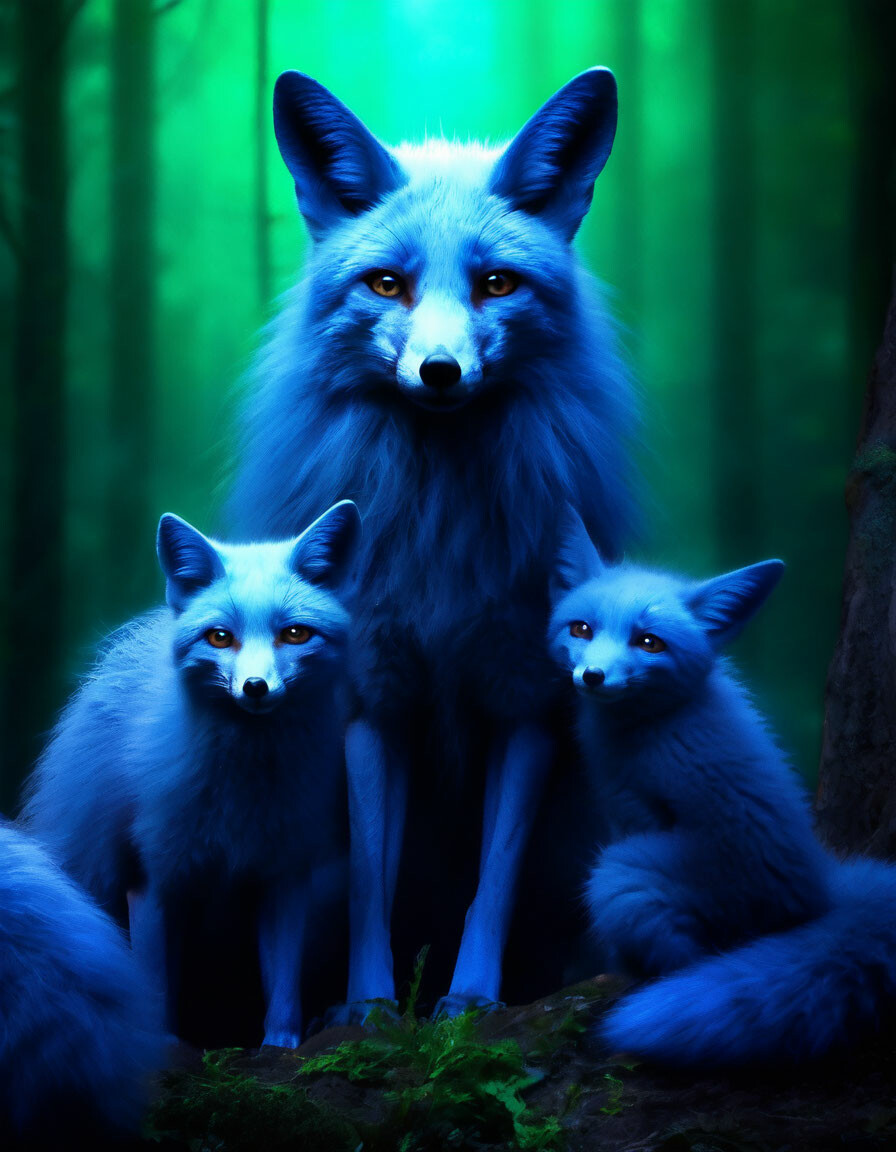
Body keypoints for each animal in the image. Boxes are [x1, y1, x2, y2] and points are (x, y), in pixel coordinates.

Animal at [22, 500, 360, 1048]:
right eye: (220, 638)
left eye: (294, 634)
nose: (256, 687)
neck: (243, 793)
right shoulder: (152, 881)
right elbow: (155, 986)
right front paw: (161, 1050)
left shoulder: (285, 875)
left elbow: (284, 988)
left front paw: (281, 1046)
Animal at [228, 68, 637, 1018]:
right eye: (387, 285)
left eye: (496, 284)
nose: (441, 373)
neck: (442, 541)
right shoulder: (372, 700)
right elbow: (373, 882)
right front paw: (370, 1009)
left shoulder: (525, 699)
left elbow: (494, 880)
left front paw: (472, 999)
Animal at [549, 514, 896, 1065]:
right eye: (581, 629)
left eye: (649, 642)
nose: (593, 676)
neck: (661, 720)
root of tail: (821, 891)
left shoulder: (637, 812)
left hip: (620, 874)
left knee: (691, 958)